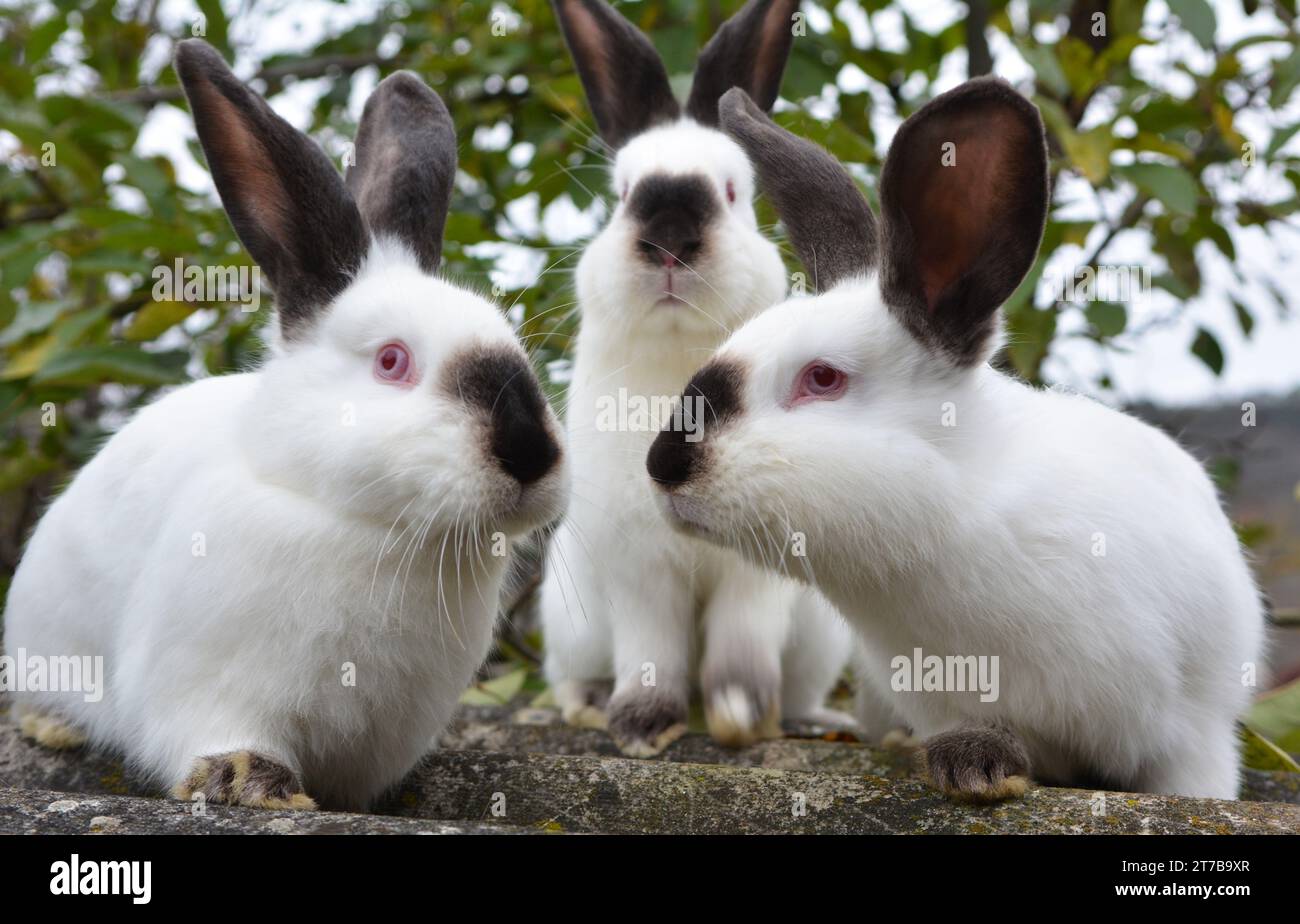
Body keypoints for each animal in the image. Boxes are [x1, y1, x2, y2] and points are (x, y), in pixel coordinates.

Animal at [1, 39, 568, 812]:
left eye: (516, 343)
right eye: (392, 361)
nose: (530, 452)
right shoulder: (204, 684)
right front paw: (251, 782)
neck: (368, 526)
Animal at [538, 0, 854, 756]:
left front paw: (740, 715)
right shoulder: (638, 562)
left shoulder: (758, 569)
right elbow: (651, 647)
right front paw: (641, 728)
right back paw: (587, 703)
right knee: (569, 671)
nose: (670, 240)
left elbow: (741, 641)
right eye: (624, 193)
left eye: (734, 192)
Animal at [646, 81, 1265, 801]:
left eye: (822, 379)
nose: (663, 463)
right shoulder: (950, 698)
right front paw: (974, 764)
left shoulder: (1194, 735)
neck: (954, 520)